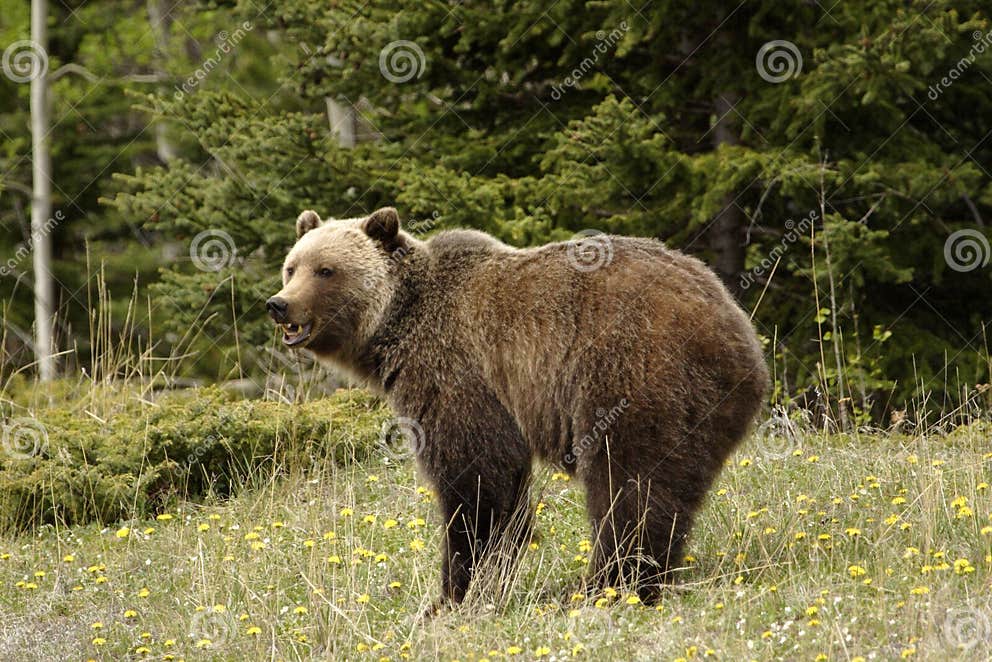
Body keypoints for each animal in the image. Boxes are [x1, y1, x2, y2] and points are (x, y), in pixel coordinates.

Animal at [266, 207, 769, 609]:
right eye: (292, 267)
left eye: (326, 270)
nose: (278, 304)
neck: (396, 326)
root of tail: (737, 329)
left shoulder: (457, 370)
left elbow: (477, 478)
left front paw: (452, 595)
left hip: (632, 374)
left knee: (630, 483)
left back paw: (607, 585)